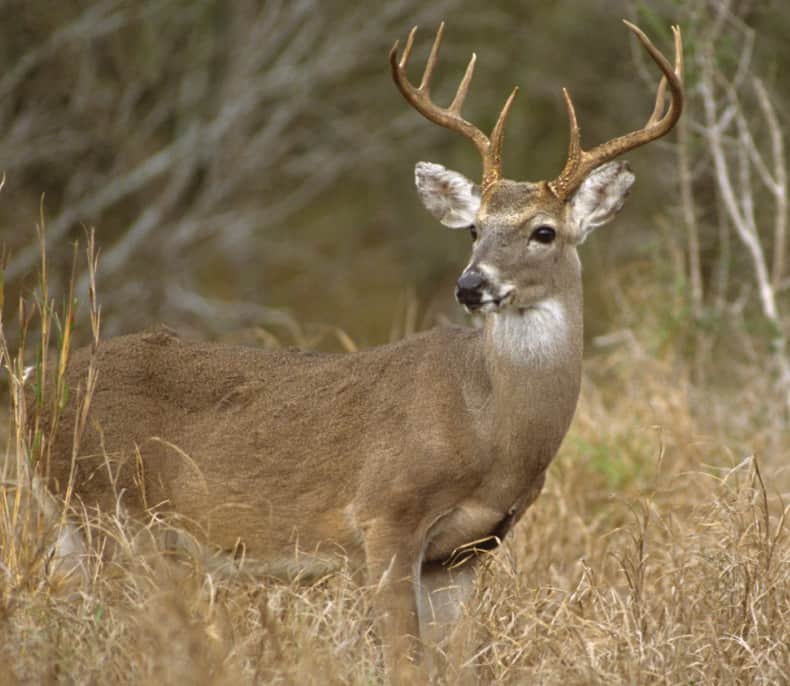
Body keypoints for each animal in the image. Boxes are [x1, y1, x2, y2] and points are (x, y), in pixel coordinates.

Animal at [39, 19, 683, 683]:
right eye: (474, 228)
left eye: (544, 232)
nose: (470, 285)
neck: (489, 430)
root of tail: (40, 386)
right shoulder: (384, 516)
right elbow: (405, 661)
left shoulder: (466, 552)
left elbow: (457, 663)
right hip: (107, 509)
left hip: (83, 525)